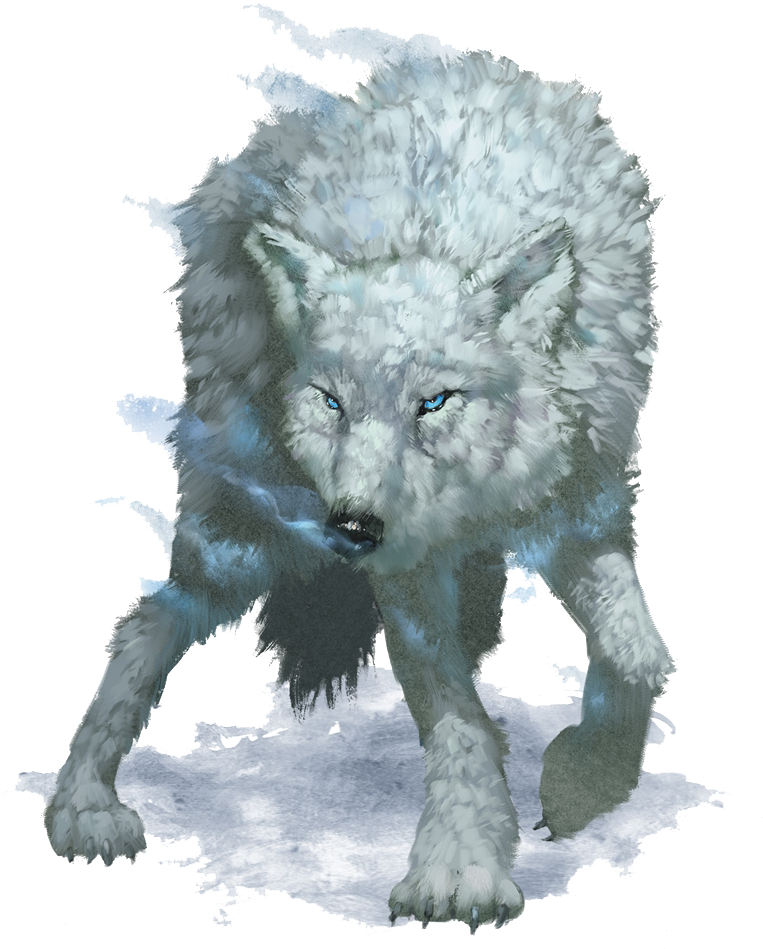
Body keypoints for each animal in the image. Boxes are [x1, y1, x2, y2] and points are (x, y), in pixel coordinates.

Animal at [44, 49, 674, 931]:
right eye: (332, 401)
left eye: (434, 401)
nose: (352, 528)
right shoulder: (405, 565)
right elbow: (454, 718)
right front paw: (459, 867)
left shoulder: (586, 510)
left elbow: (637, 653)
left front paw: (582, 784)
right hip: (250, 530)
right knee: (145, 622)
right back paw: (82, 811)